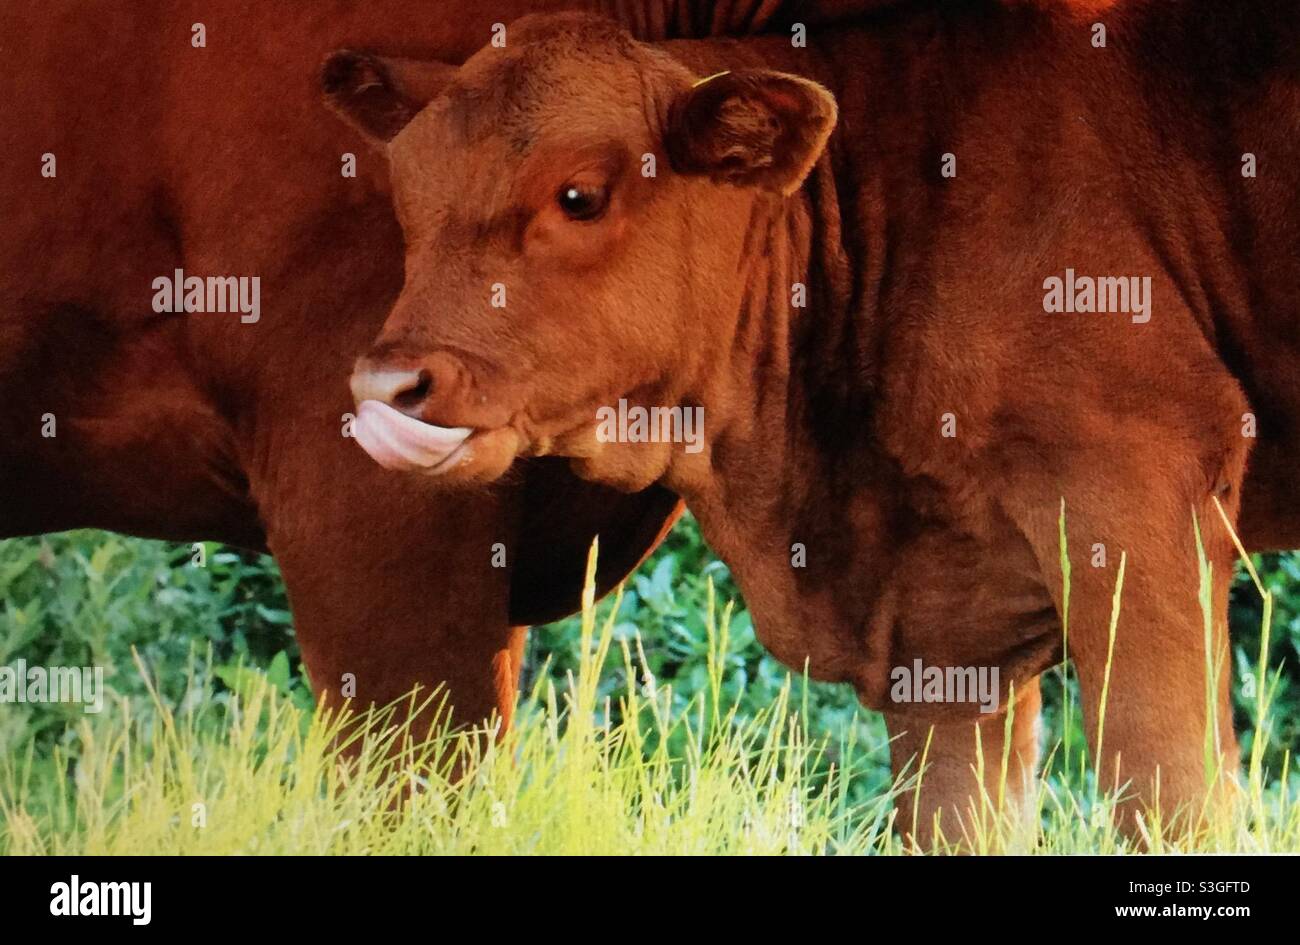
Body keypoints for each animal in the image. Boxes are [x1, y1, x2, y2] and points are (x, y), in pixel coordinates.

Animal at [334, 0, 1300, 842]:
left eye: (579, 196)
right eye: (408, 199)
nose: (387, 380)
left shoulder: (1141, 482)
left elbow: (1174, 798)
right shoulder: (952, 642)